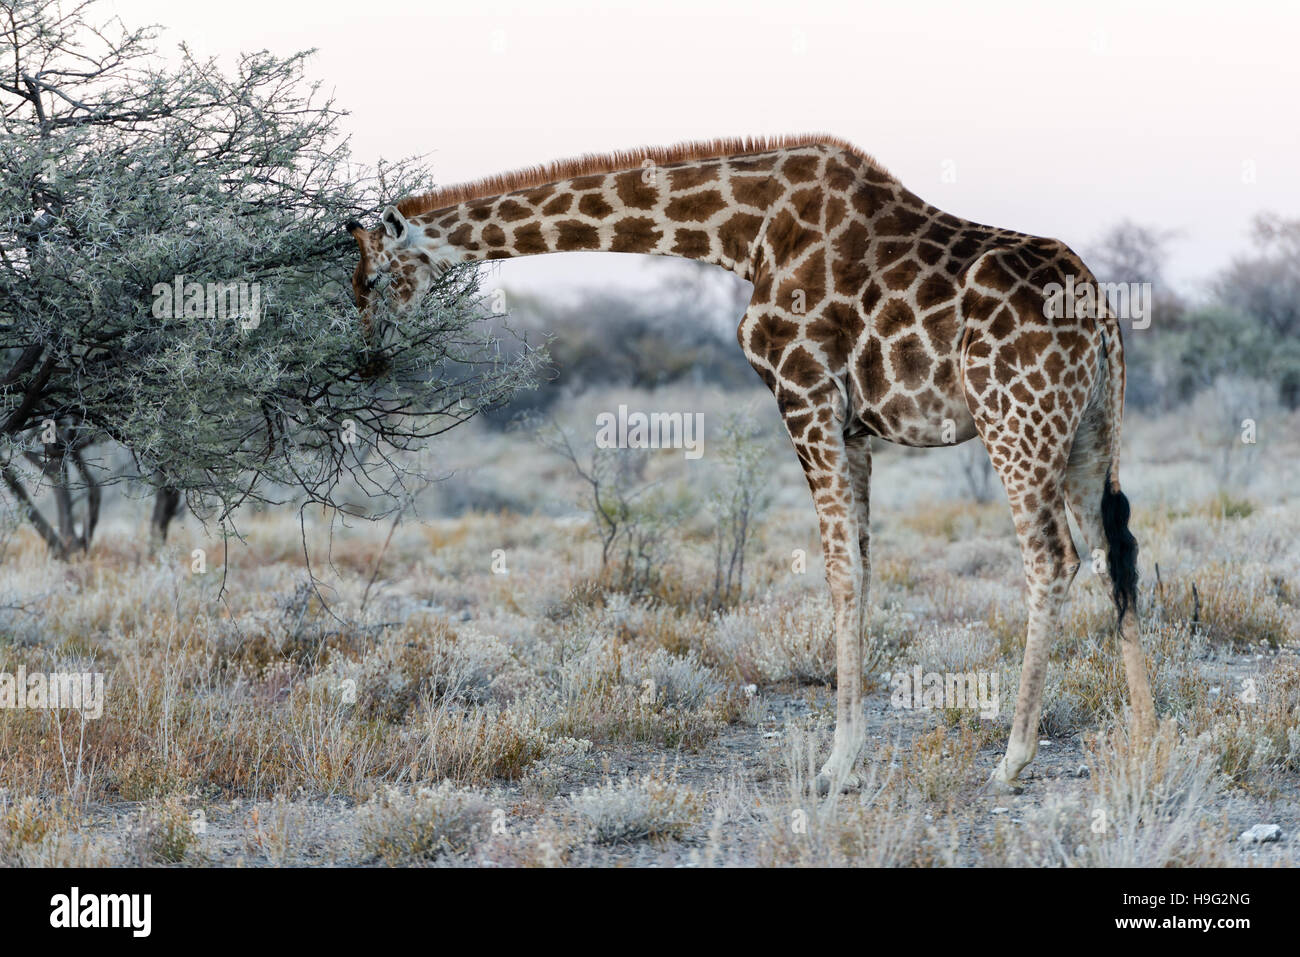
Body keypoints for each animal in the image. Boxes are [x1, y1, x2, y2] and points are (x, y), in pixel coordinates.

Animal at [346, 134, 1157, 794]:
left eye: (375, 280)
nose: (370, 360)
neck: (744, 233)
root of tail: (1102, 313)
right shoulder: (853, 425)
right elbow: (864, 563)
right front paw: (846, 755)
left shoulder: (804, 393)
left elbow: (839, 570)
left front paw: (835, 764)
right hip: (1089, 429)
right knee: (1112, 549)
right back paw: (1149, 735)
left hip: (1015, 422)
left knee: (1052, 558)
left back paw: (1014, 758)